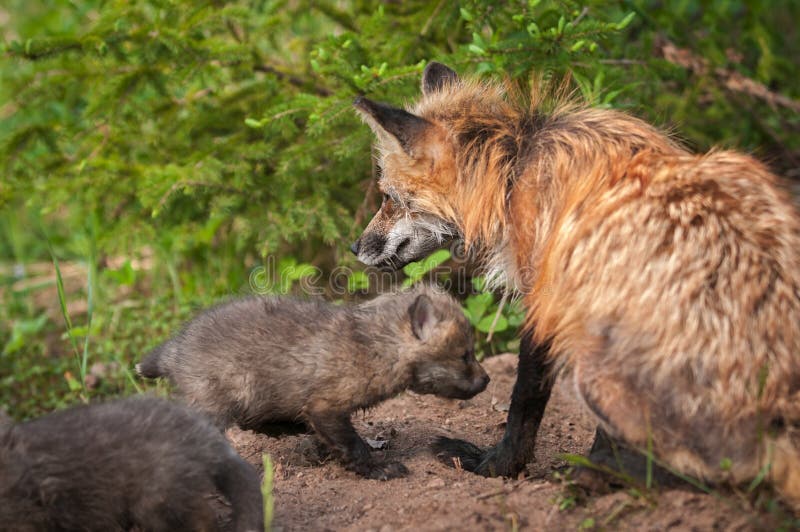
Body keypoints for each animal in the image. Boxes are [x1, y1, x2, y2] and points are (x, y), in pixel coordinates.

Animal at [137, 284, 489, 480]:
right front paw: (378, 470)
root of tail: (174, 349)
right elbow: (353, 446)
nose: (487, 380)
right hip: (219, 401)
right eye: (465, 355)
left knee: (256, 421)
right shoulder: (326, 405)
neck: (373, 346)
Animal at [351, 62, 800, 507]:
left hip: (596, 367)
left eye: (388, 198)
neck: (515, 163)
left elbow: (525, 401)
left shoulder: (547, 298)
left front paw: (498, 466)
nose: (355, 247)